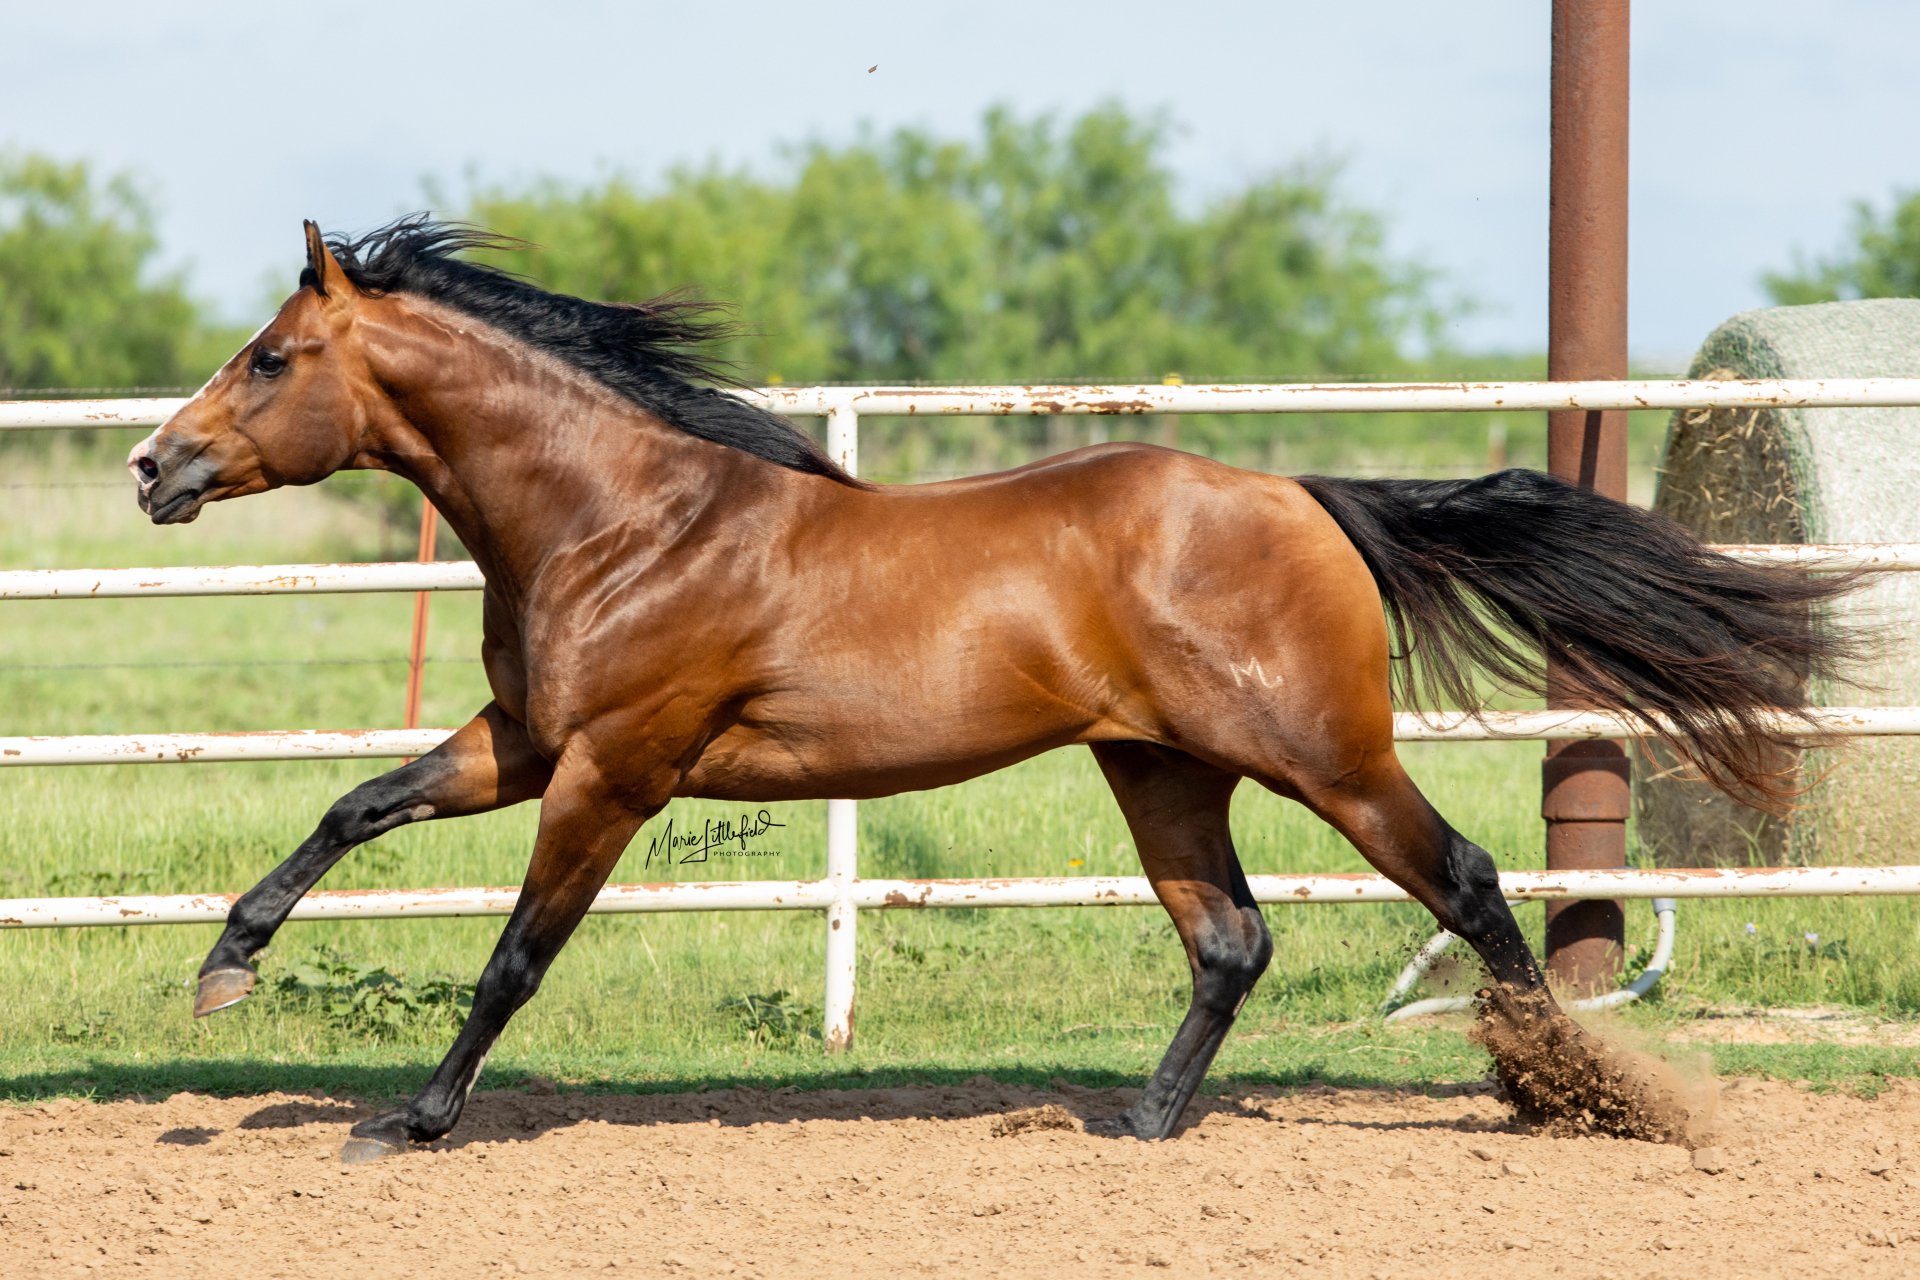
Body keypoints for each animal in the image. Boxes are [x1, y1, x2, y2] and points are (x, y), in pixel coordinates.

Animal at [127, 217, 1858, 1163]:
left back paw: (1568, 1097)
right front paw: (224, 969)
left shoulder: (613, 769)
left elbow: (511, 959)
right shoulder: (525, 740)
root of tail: (1302, 495)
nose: (154, 467)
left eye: (270, 357)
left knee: (1469, 877)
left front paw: (409, 1121)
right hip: (1161, 768)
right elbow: (354, 806)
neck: (625, 518)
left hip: (1325, 757)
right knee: (1231, 939)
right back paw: (1140, 1125)